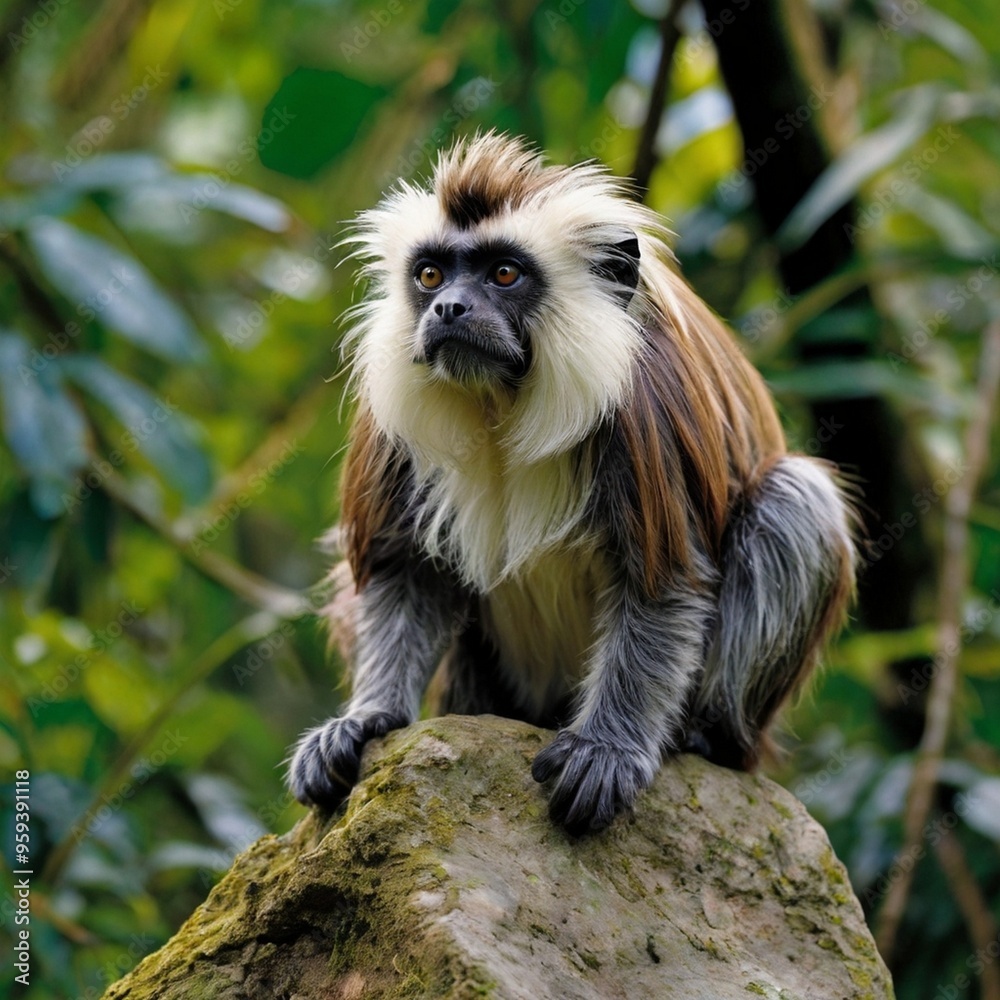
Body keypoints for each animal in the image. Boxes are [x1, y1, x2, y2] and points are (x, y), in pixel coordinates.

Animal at [287, 132, 857, 834]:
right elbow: (403, 568)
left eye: (504, 274)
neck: (501, 397)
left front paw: (608, 749)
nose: (448, 309)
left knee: (793, 499)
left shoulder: (645, 403)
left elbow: (662, 584)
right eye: (431, 276)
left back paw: (704, 736)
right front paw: (368, 718)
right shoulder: (392, 421)